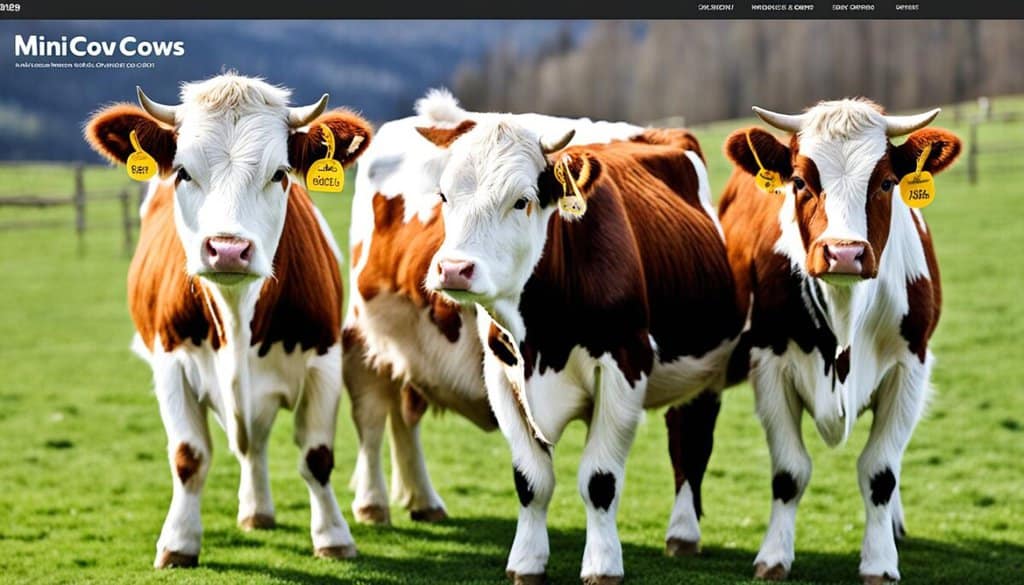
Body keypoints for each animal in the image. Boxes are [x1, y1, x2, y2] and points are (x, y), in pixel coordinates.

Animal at [84, 73, 372, 568]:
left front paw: (333, 536)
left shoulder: (324, 358)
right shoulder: (171, 363)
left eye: (279, 173)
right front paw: (178, 541)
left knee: (256, 440)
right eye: (183, 172)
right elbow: (189, 457)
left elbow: (317, 456)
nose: (229, 249)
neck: (238, 314)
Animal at [344, 89, 743, 584]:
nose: (453, 269)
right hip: (364, 335)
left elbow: (600, 480)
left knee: (690, 441)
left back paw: (683, 534)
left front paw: (602, 564)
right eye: (443, 195)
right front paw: (527, 561)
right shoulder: (501, 372)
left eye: (522, 200)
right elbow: (531, 480)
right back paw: (379, 503)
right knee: (376, 412)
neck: (542, 336)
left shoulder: (625, 365)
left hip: (704, 371)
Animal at [718, 98, 960, 584]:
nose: (844, 253)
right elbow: (789, 472)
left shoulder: (910, 369)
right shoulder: (770, 366)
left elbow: (880, 471)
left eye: (887, 182)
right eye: (798, 181)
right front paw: (774, 556)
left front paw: (880, 559)